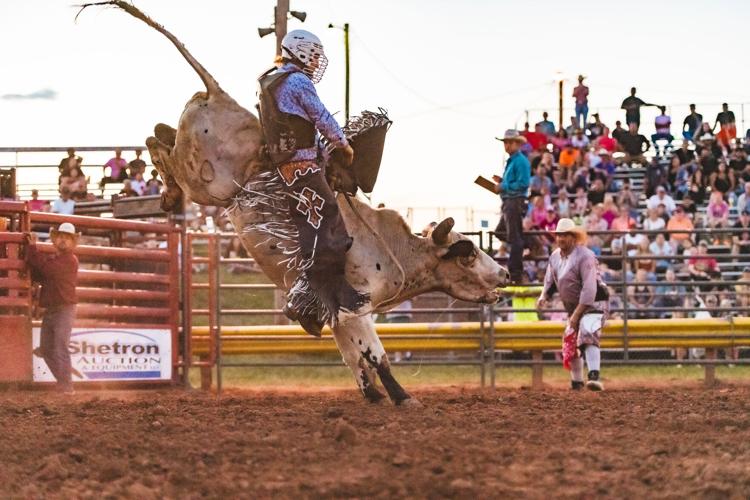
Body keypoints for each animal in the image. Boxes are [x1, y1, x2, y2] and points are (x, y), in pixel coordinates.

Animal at [79, 1, 509, 405]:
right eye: (468, 254)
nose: (505, 274)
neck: (393, 247)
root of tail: (220, 94)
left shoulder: (336, 316)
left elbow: (354, 359)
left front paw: (372, 395)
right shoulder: (354, 306)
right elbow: (375, 355)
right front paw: (403, 397)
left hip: (188, 145)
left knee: (158, 132)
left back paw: (166, 190)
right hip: (204, 178)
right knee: (159, 146)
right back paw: (168, 194)